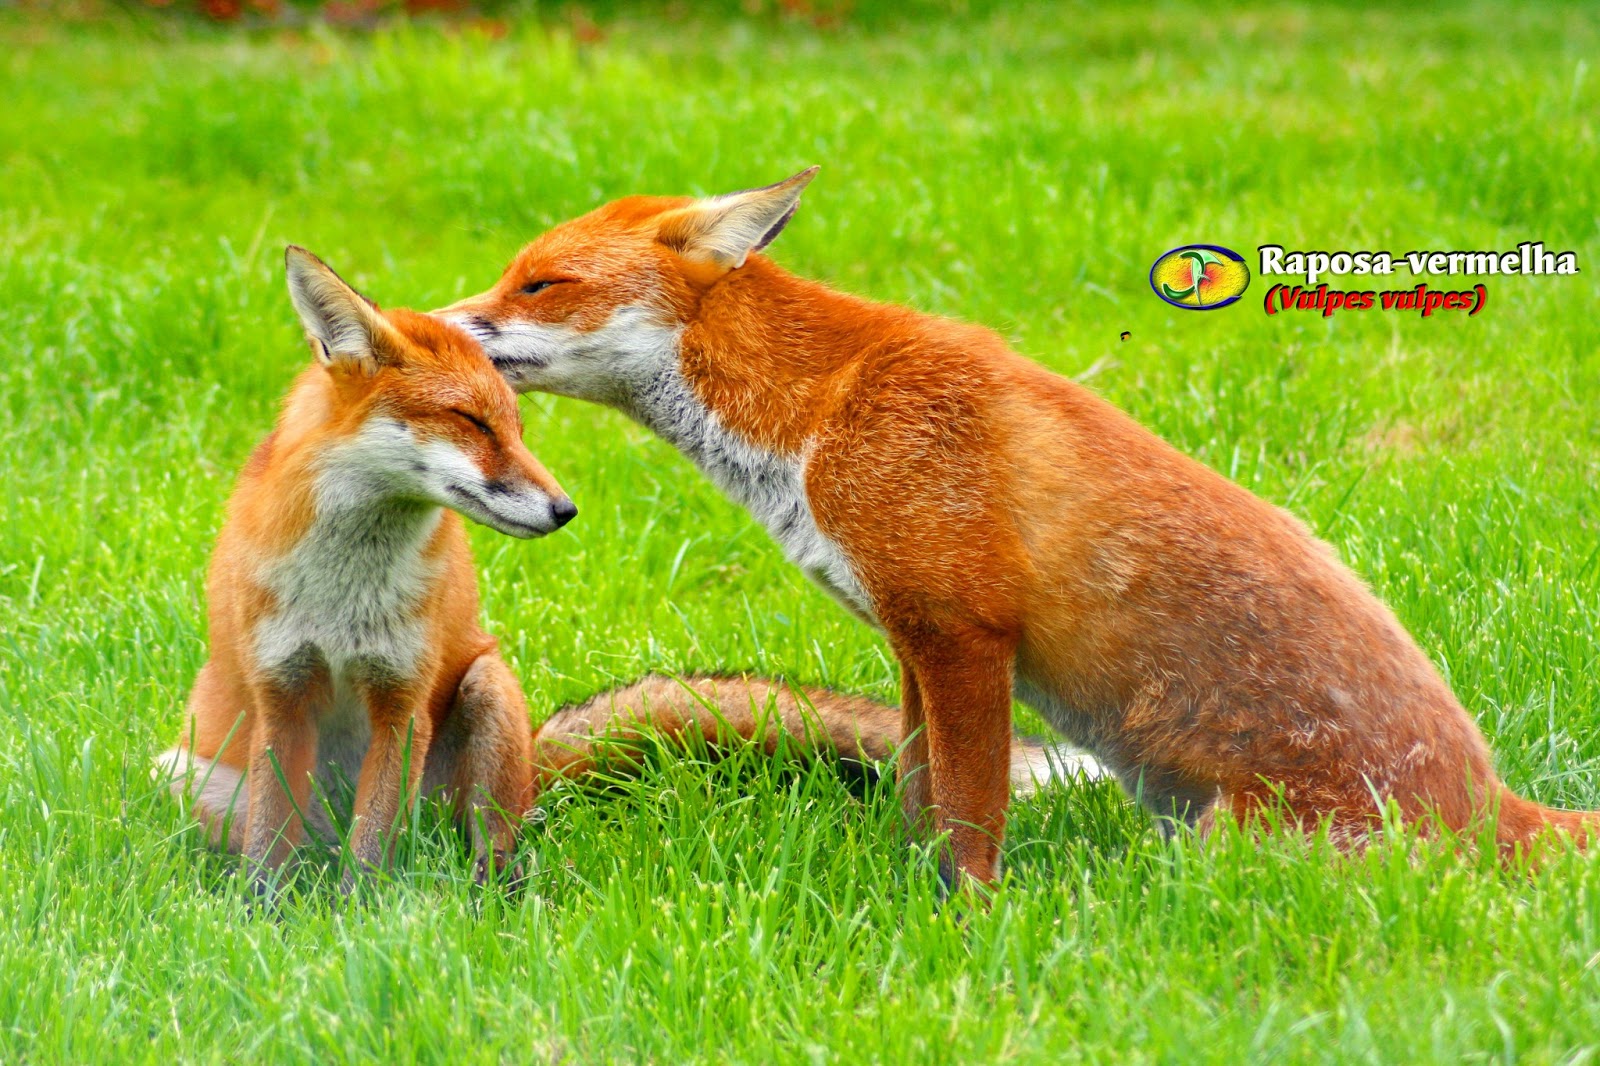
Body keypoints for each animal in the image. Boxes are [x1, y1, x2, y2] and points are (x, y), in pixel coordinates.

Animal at [438, 167, 1599, 885]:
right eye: (510, 275)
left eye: (539, 282)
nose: (425, 327)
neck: (816, 416)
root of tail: (1496, 807)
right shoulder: (912, 640)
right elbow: (919, 799)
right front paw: (907, 896)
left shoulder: (965, 634)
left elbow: (972, 820)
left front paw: (967, 923)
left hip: (1221, 846)